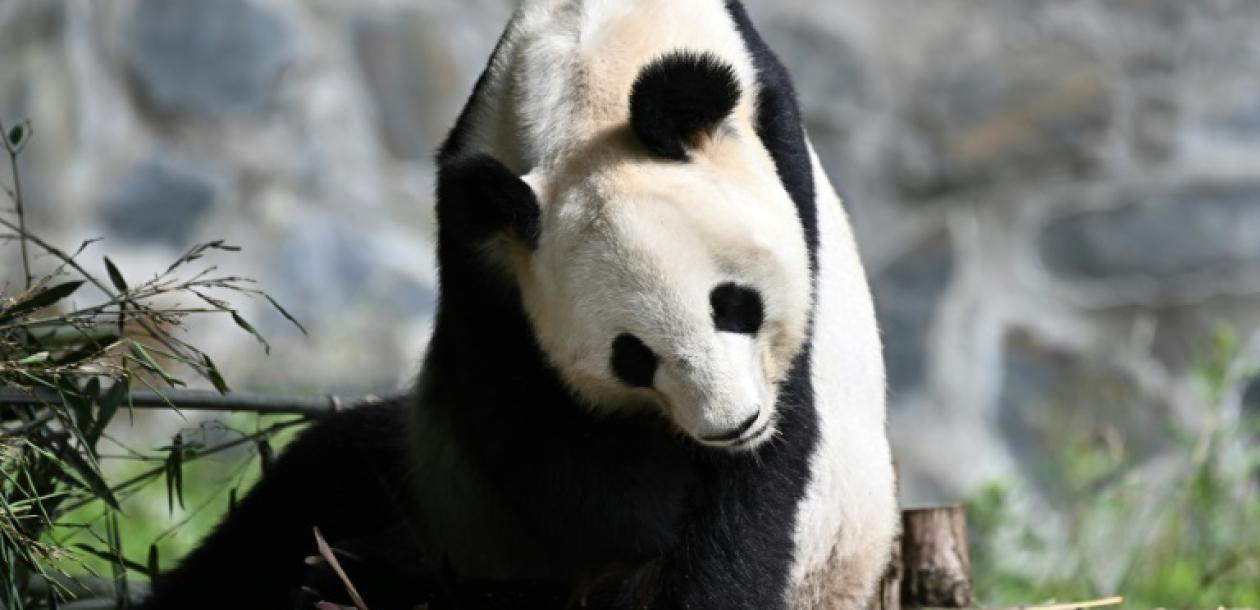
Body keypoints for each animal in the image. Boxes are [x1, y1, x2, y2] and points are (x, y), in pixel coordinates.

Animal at [139, 1, 896, 609]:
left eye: (734, 305)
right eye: (632, 356)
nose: (730, 425)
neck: (595, 75)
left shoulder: (784, 169)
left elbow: (754, 490)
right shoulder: (480, 239)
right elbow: (543, 446)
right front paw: (646, 502)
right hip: (424, 474)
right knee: (300, 504)